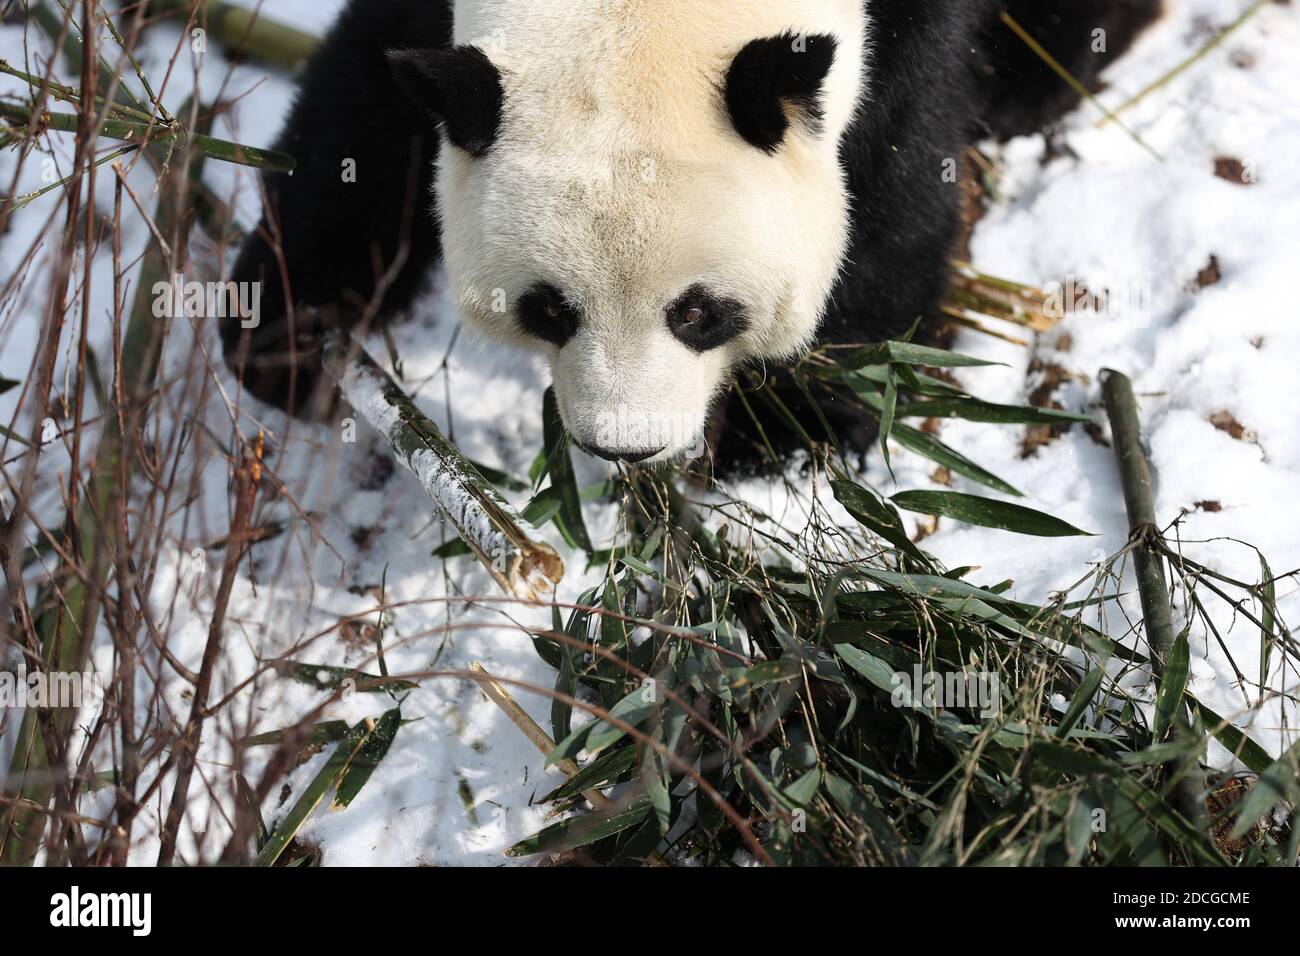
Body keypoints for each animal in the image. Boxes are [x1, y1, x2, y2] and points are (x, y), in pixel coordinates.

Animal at [222, 0, 1160, 473]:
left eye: (700, 314)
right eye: (549, 311)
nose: (623, 448)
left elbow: (892, 165)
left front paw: (794, 423)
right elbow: (369, 87)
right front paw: (285, 334)